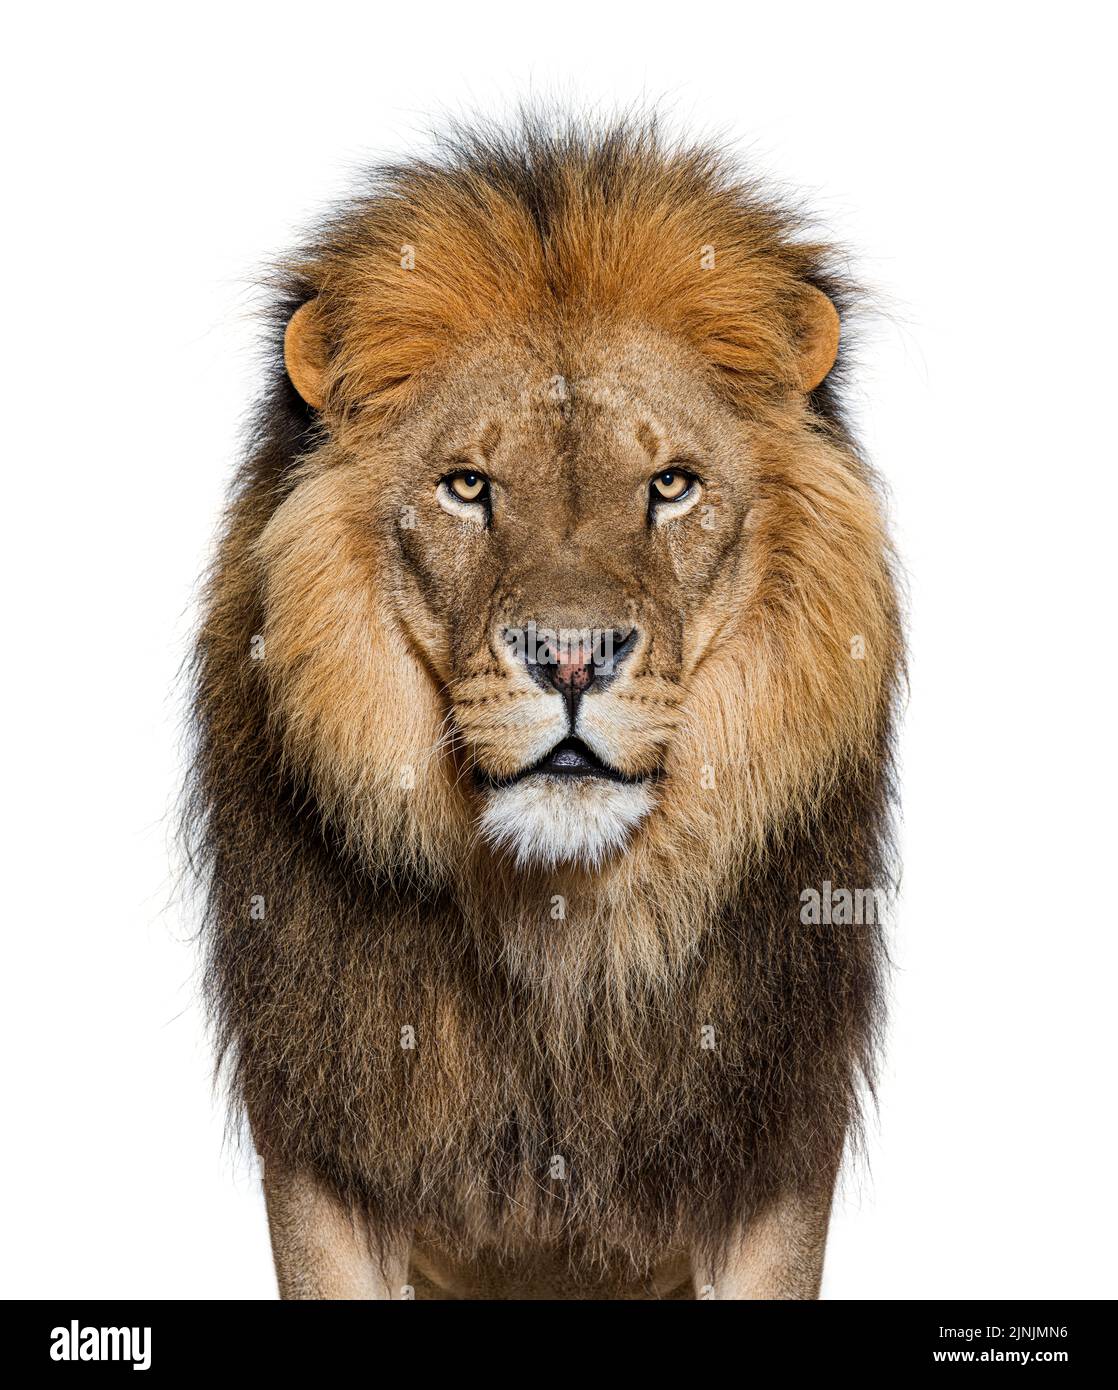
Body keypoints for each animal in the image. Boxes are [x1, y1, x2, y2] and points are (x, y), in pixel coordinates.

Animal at [186, 115, 902, 1300]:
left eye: (670, 486)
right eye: (468, 487)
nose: (570, 661)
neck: (563, 922)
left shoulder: (771, 1152)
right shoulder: (323, 1153)